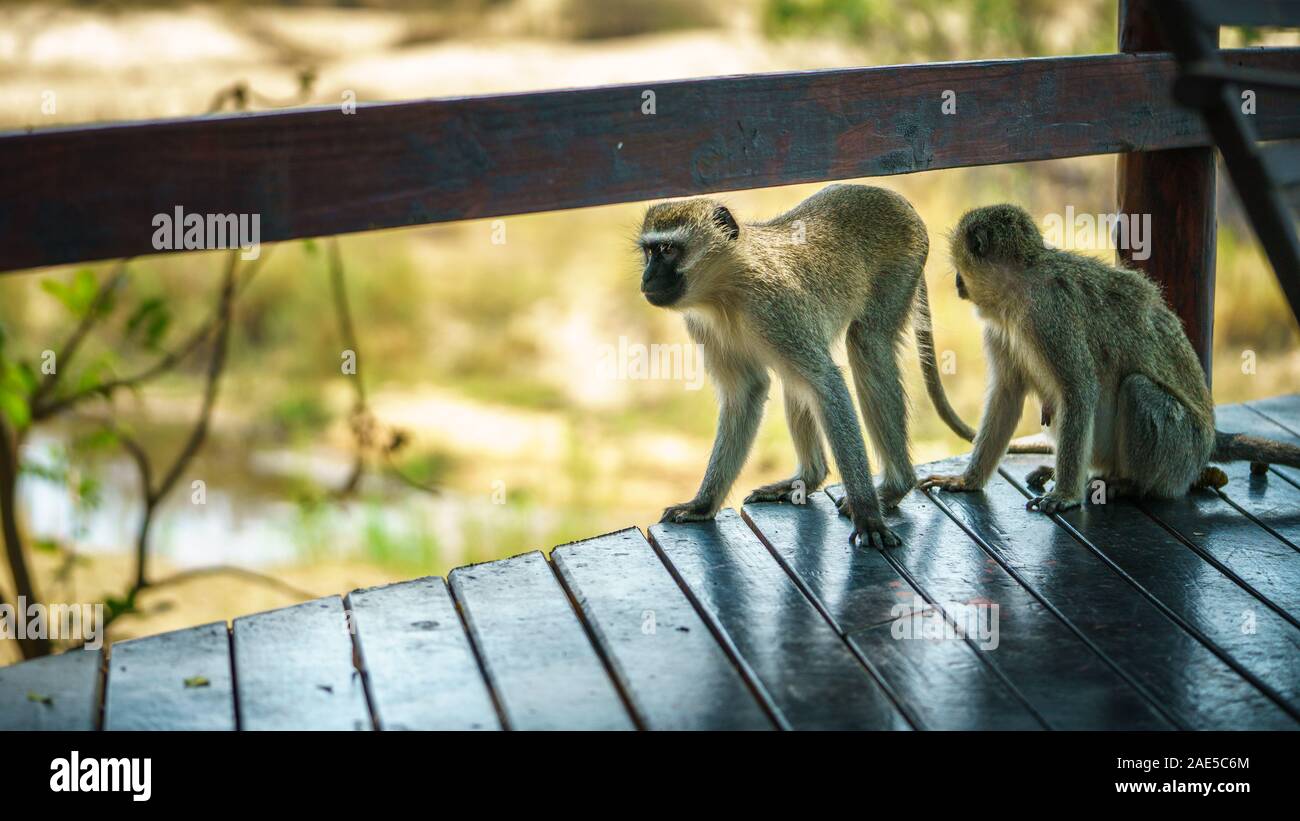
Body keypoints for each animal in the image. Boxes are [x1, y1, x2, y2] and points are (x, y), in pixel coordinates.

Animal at [638, 183, 1032, 548]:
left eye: (668, 250)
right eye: (649, 252)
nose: (646, 278)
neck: (727, 289)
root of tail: (896, 199)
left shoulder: (776, 307)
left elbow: (826, 383)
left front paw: (868, 517)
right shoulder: (704, 325)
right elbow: (747, 393)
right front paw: (701, 505)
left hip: (901, 267)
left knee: (866, 344)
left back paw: (894, 487)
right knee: (796, 377)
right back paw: (809, 477)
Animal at [919, 203, 1300, 512]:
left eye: (960, 268)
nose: (957, 283)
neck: (1023, 284)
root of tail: (1208, 440)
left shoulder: (1050, 314)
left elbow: (1078, 391)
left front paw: (1065, 496)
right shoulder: (1000, 328)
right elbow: (1008, 396)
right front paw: (967, 481)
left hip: (1181, 451)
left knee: (1137, 390)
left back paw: (1130, 484)